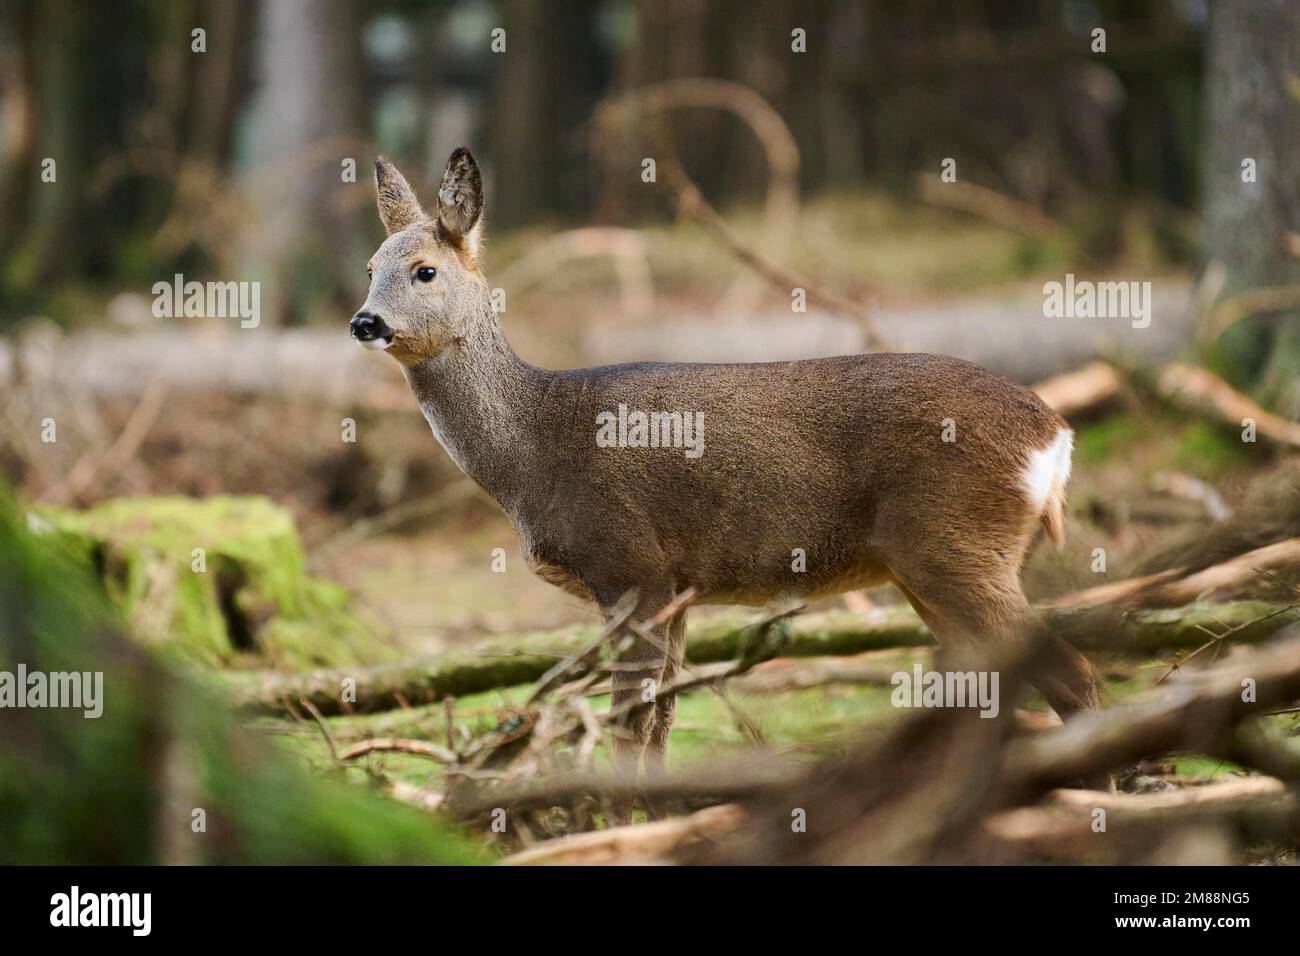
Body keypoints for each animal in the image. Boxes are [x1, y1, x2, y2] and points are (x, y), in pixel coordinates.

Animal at [352, 148, 1099, 809]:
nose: (364, 321)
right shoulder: (676, 586)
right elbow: (661, 723)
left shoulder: (630, 566)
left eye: (424, 270)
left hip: (953, 541)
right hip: (934, 563)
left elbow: (628, 725)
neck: (531, 451)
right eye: (369, 267)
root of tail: (1054, 435)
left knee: (1073, 671)